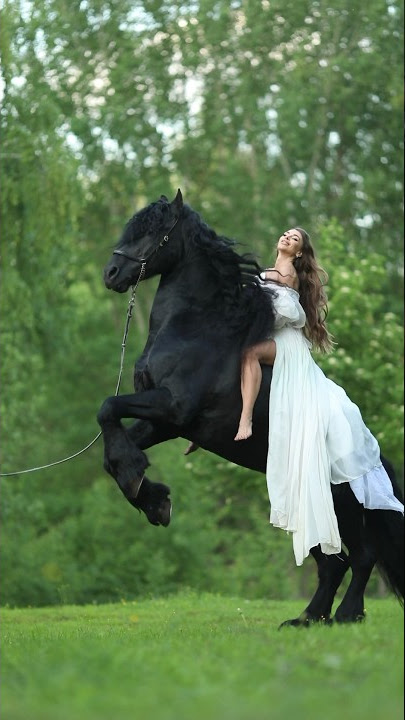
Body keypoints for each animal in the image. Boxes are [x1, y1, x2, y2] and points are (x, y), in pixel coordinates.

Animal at [97, 189, 404, 626]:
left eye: (154, 231)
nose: (111, 273)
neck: (198, 330)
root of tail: (373, 454)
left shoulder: (172, 408)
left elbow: (107, 407)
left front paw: (144, 487)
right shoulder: (168, 423)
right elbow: (112, 446)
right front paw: (151, 497)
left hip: (341, 499)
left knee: (361, 557)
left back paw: (344, 615)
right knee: (334, 563)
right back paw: (307, 619)